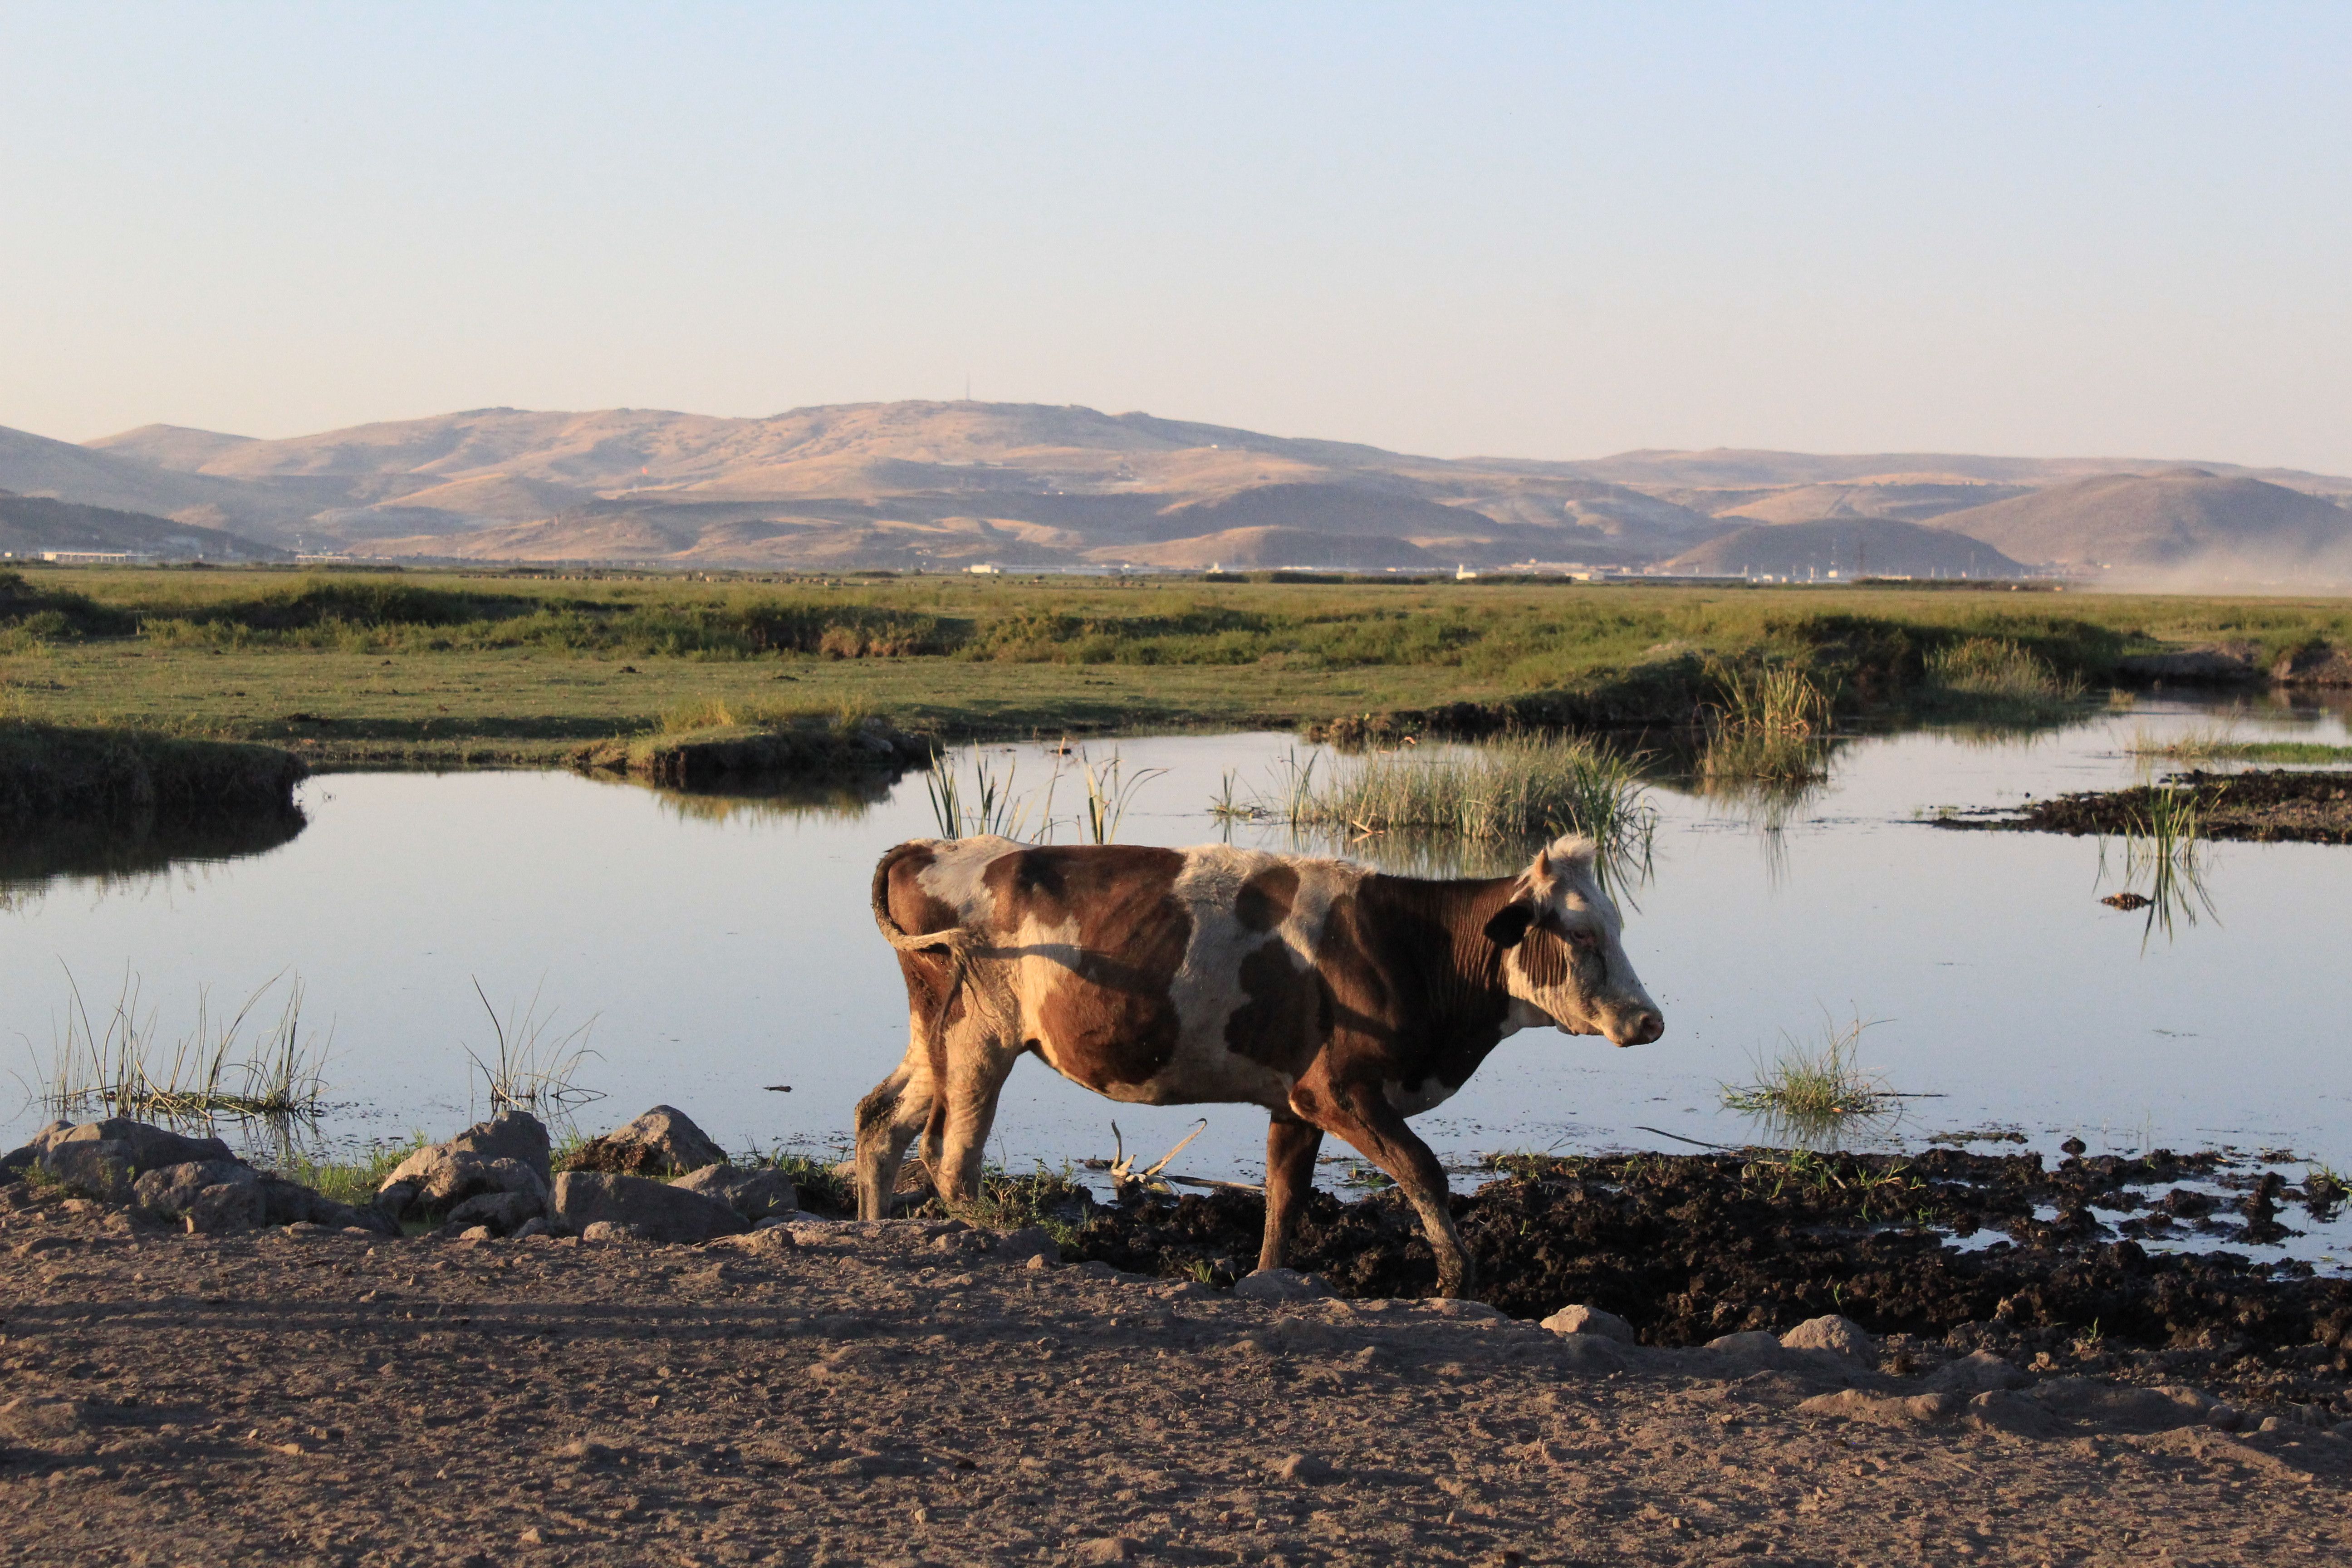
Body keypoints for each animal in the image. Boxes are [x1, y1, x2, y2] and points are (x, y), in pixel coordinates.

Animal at [857, 833, 1663, 1297]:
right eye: (1582, 935)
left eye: (1619, 927)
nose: (1649, 1021)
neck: (1409, 945)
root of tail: (933, 845)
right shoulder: (1340, 1090)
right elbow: (1424, 1172)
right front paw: (1456, 1282)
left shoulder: (1294, 1100)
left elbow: (1285, 1196)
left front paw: (1268, 1276)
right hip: (980, 1032)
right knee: (951, 1154)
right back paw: (997, 1237)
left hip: (935, 1033)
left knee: (881, 1120)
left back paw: (872, 1228)